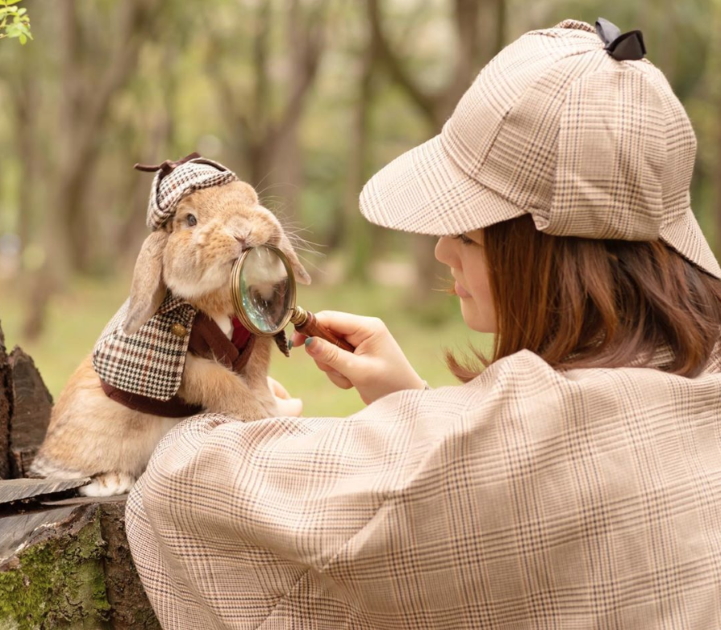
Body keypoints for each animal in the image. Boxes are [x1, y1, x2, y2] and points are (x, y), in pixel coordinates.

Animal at [29, 179, 310, 497]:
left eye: (253, 200)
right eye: (190, 219)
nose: (241, 230)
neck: (221, 302)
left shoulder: (254, 351)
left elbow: (256, 382)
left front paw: (270, 413)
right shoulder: (186, 367)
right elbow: (225, 385)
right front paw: (258, 417)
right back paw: (111, 481)